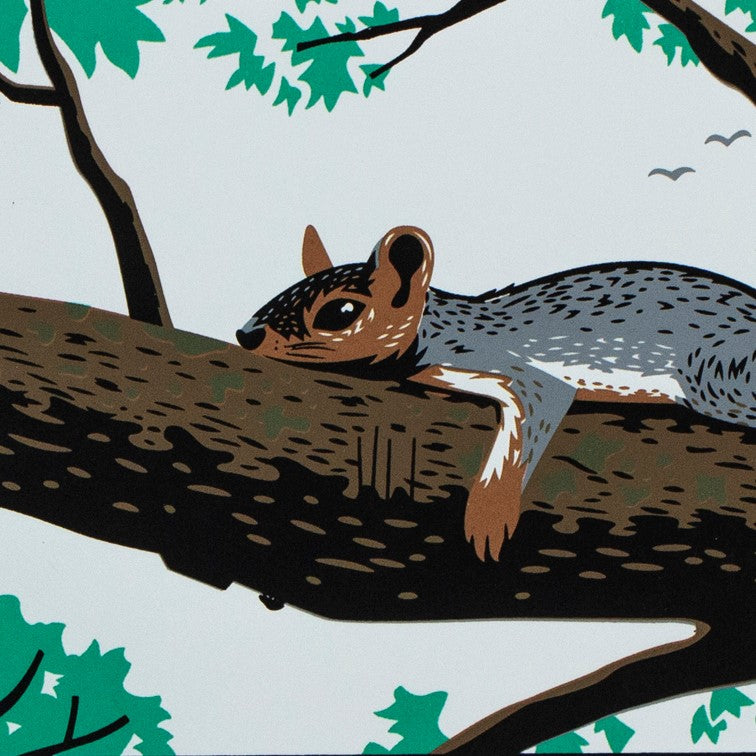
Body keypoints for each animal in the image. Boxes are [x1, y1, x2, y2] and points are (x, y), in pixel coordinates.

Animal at [237, 225, 756, 561]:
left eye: (341, 311)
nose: (245, 335)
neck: (439, 332)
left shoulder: (511, 369)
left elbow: (528, 420)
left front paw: (489, 512)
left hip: (717, 374)